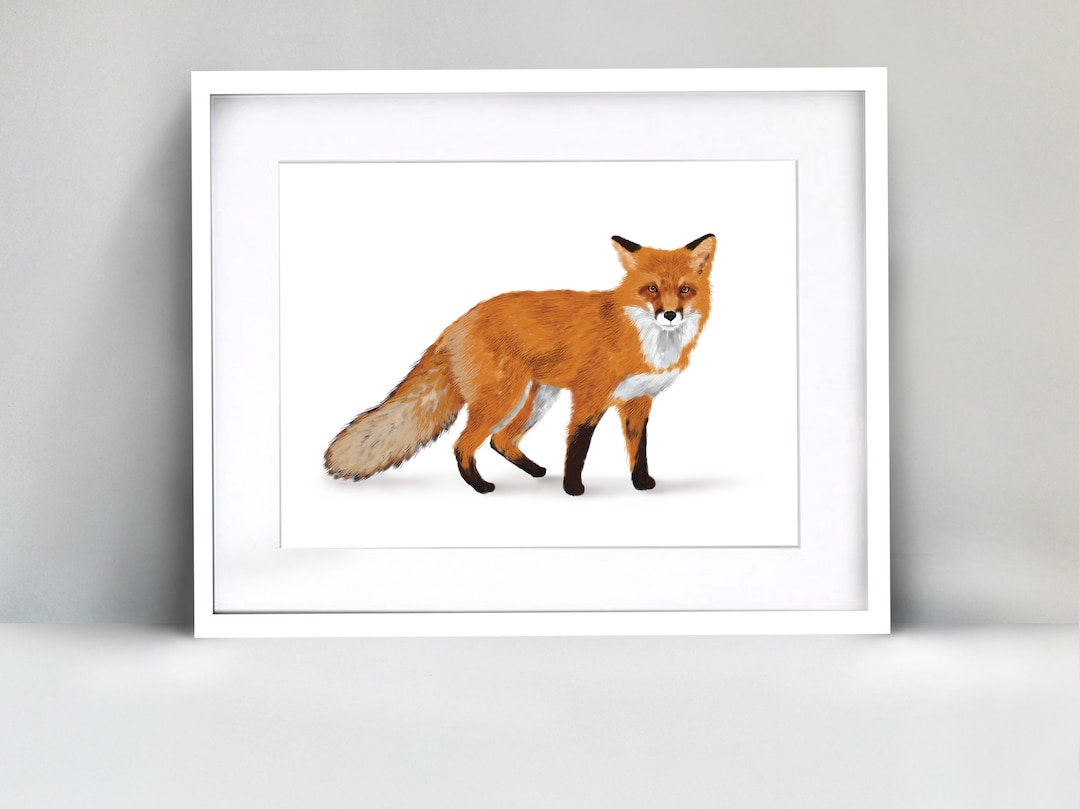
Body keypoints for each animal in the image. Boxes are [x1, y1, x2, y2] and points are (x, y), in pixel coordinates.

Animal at [324, 234, 715, 495]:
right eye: (651, 289)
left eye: (684, 290)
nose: (669, 314)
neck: (646, 339)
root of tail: (459, 321)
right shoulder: (589, 397)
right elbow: (578, 448)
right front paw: (573, 489)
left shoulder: (638, 400)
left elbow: (639, 449)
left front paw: (641, 483)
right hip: (505, 398)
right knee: (464, 444)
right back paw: (481, 486)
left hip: (536, 398)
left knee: (500, 440)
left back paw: (536, 471)